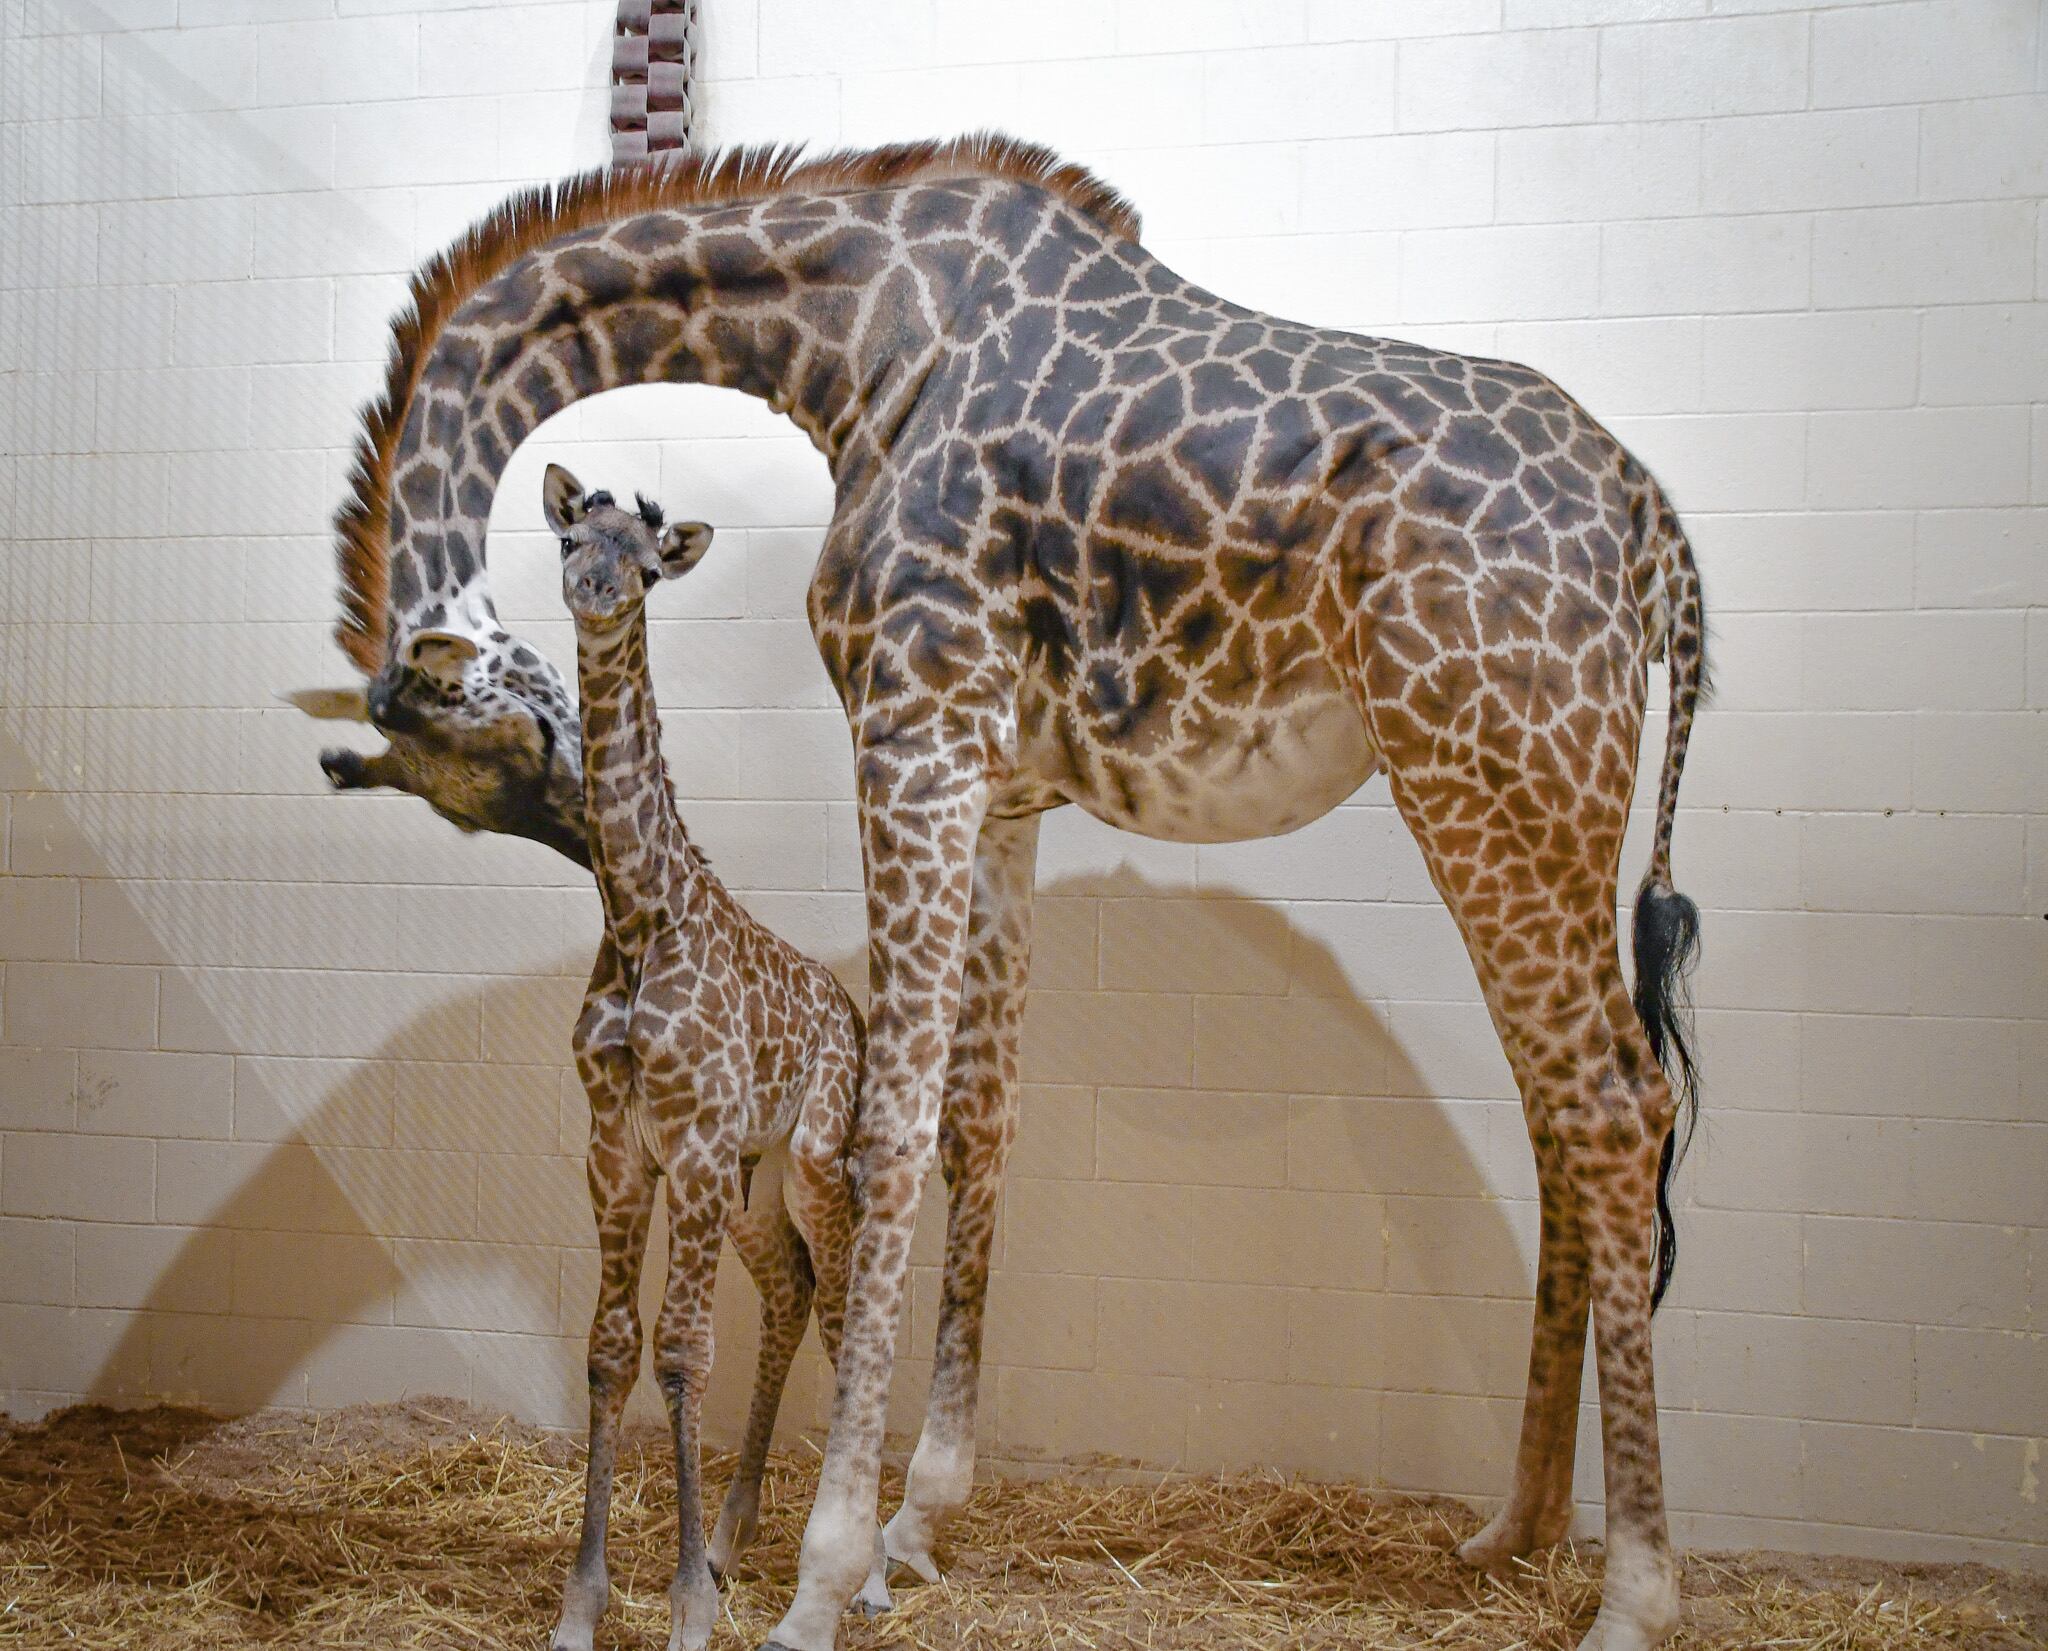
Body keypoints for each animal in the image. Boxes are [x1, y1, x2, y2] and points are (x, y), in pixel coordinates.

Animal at [543, 461, 873, 1651]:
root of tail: (852, 1010)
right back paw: (734, 1540)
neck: (641, 916)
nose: (592, 592)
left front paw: (684, 1606)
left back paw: (859, 1574)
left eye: (645, 566)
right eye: (570, 538)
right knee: (789, 1294)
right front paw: (582, 1605)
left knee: (842, 1303)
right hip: (752, 1180)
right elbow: (610, 1350)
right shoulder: (616, 1150)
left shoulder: (686, 1147)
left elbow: (683, 1355)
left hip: (811, 1160)